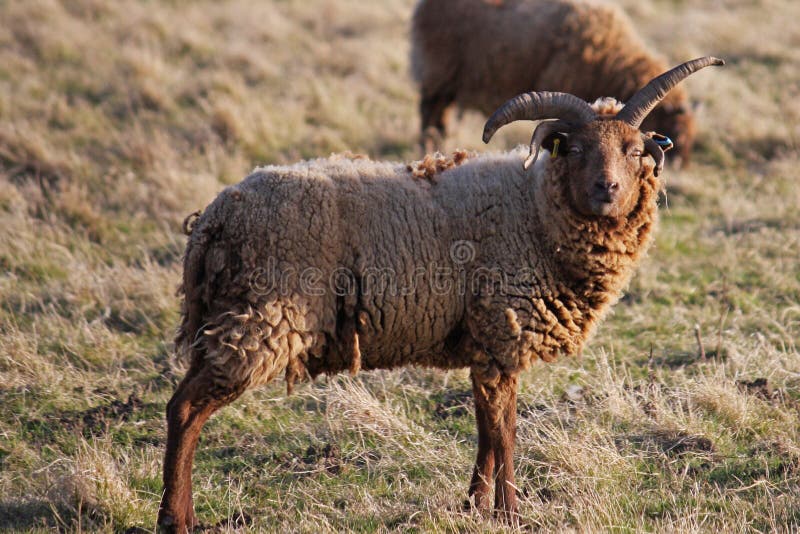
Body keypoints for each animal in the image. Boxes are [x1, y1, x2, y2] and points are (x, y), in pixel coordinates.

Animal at [157, 57, 722, 531]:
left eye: (635, 151)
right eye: (577, 149)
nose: (608, 190)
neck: (533, 208)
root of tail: (213, 218)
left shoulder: (486, 344)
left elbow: (487, 433)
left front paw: (474, 506)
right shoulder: (501, 333)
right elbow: (505, 433)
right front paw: (512, 514)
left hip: (230, 316)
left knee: (186, 404)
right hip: (264, 318)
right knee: (184, 410)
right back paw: (175, 518)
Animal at [412, 0, 700, 166]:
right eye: (677, 131)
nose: (679, 167)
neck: (612, 59)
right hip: (437, 74)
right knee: (429, 118)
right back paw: (430, 149)